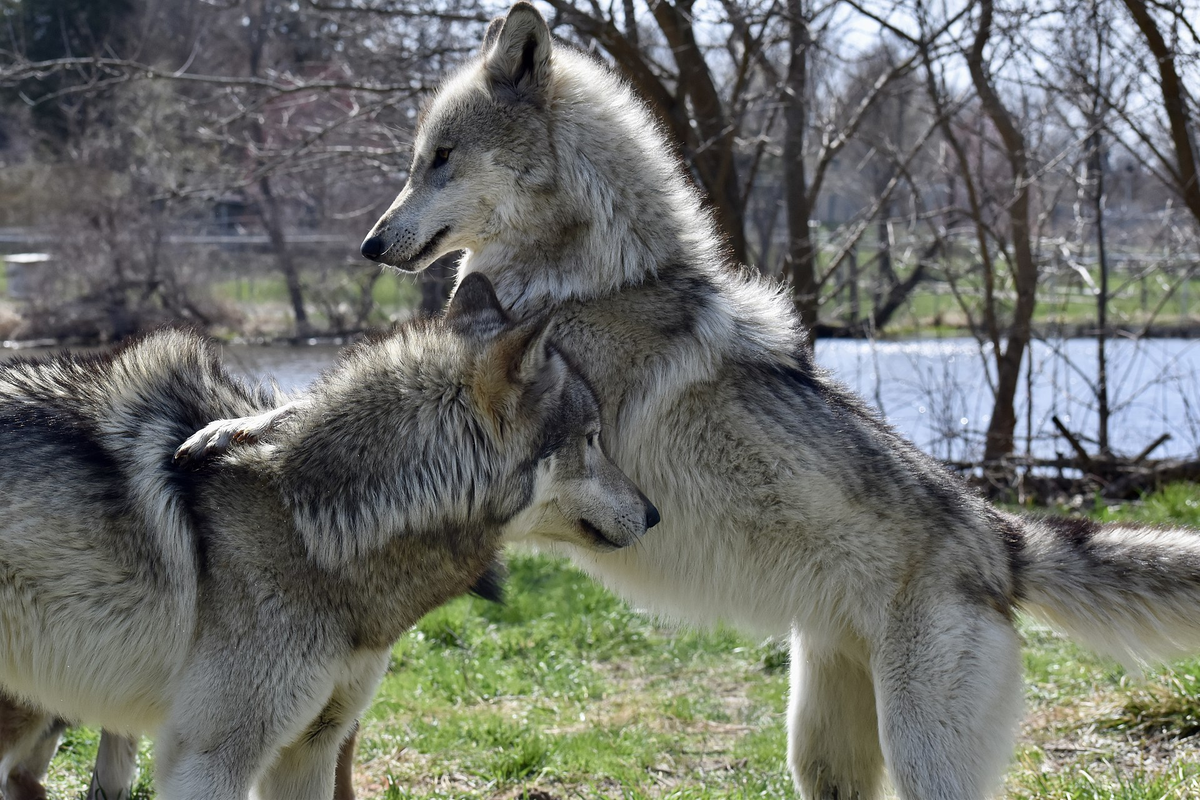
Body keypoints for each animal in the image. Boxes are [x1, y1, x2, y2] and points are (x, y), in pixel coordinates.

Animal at [180, 3, 1200, 796]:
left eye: (439, 158)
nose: (367, 245)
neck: (588, 276)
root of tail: (1000, 533)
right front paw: (224, 426)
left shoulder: (529, 382)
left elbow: (311, 402)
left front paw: (228, 430)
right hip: (822, 756)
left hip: (918, 757)